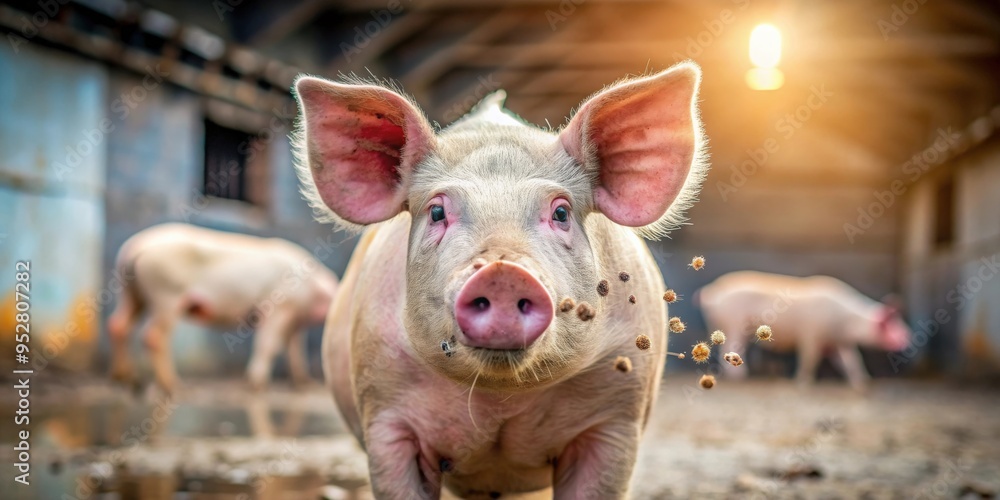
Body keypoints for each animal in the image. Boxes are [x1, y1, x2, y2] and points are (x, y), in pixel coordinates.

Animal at [107, 223, 339, 393]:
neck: (313, 288)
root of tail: (136, 246)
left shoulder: (295, 318)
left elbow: (295, 349)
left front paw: (305, 384)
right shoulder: (279, 307)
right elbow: (269, 345)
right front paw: (255, 386)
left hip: (131, 292)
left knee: (119, 324)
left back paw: (125, 379)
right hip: (165, 293)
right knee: (153, 336)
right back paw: (174, 386)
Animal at [292, 62, 708, 499]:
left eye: (561, 212)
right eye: (437, 211)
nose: (503, 273)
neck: (501, 397)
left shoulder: (617, 419)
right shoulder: (386, 417)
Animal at [697, 271, 911, 390]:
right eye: (892, 327)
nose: (908, 339)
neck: (846, 323)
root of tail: (711, 294)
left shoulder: (839, 342)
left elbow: (851, 361)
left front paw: (862, 384)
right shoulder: (811, 335)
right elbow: (810, 358)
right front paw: (802, 383)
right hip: (734, 322)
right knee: (731, 348)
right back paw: (741, 378)